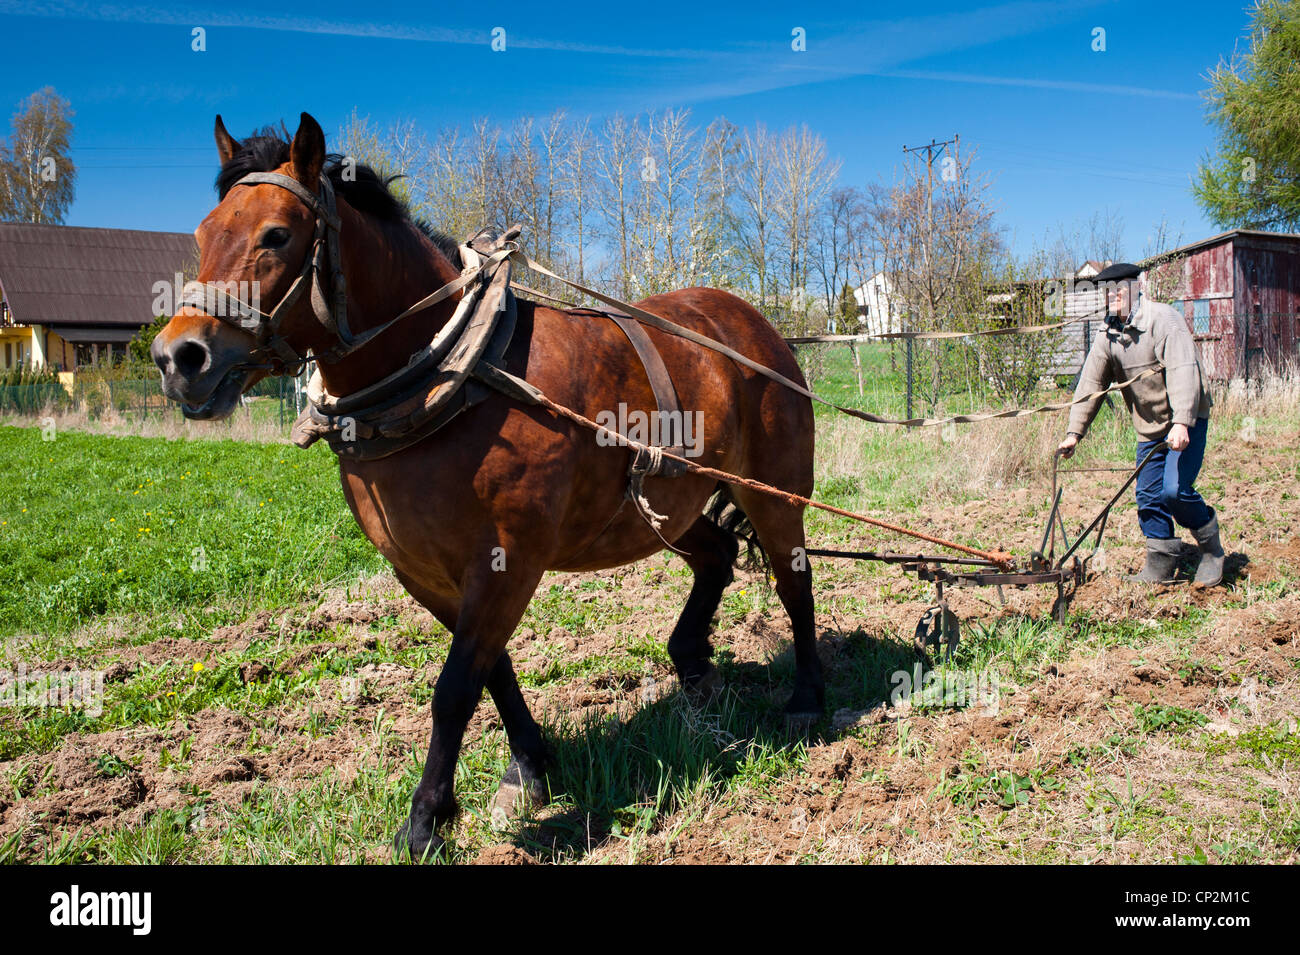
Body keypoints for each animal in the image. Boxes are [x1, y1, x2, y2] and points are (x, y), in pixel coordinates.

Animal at [152, 112, 821, 859]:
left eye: (276, 235)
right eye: (202, 235)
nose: (179, 358)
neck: (452, 376)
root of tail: (754, 323)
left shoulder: (507, 561)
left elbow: (453, 689)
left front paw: (424, 820)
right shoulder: (424, 571)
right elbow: (490, 668)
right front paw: (528, 765)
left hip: (774, 491)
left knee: (794, 580)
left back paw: (807, 700)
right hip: (665, 503)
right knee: (717, 556)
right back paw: (693, 661)